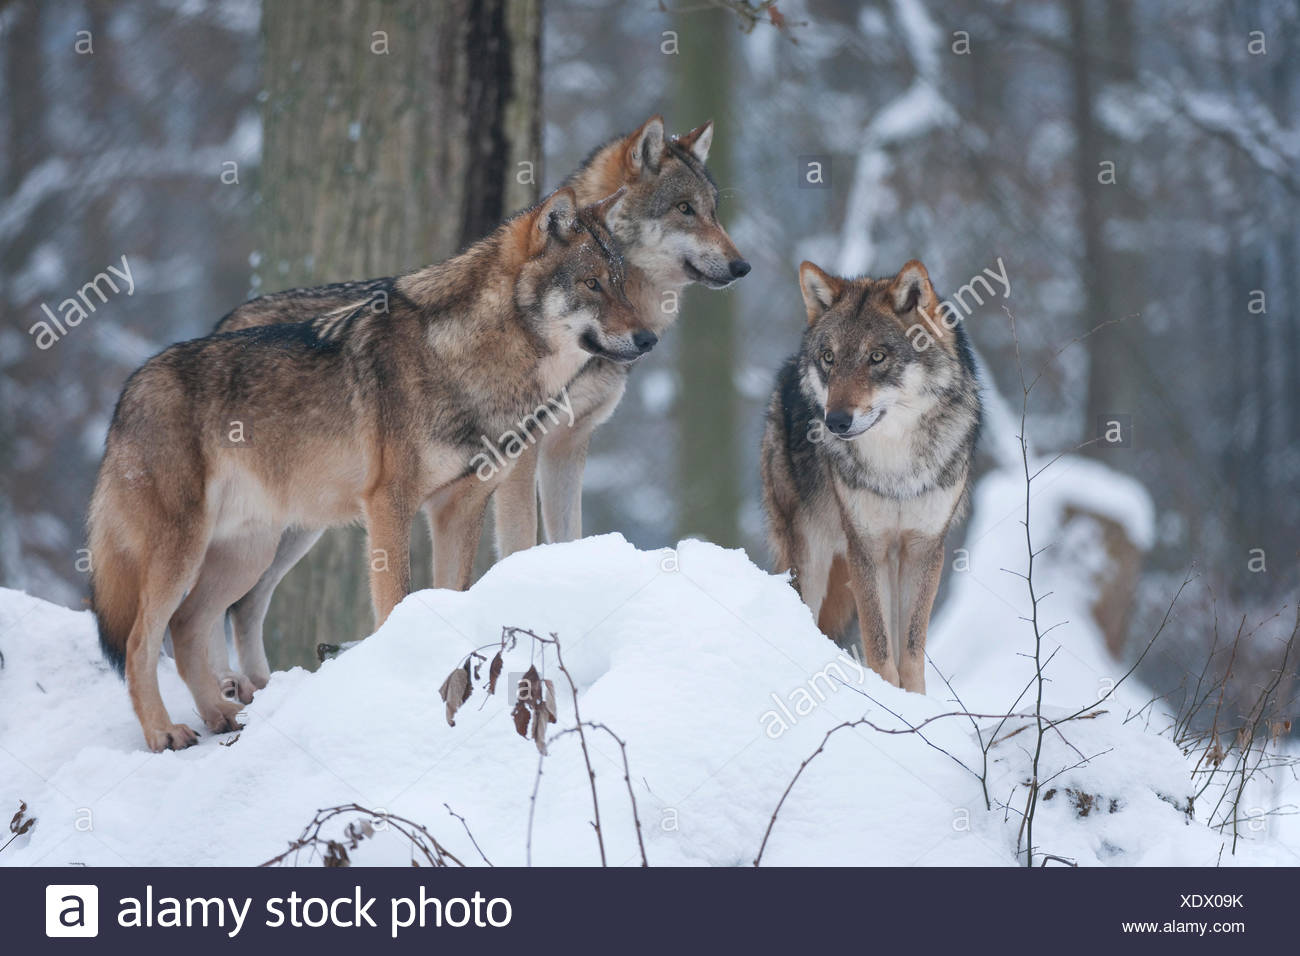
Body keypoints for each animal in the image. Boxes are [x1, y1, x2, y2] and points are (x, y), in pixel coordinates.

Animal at [89, 187, 646, 750]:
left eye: (622, 282)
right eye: (592, 283)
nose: (649, 340)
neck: (473, 359)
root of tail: (130, 388)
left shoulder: (460, 508)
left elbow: (451, 594)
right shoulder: (389, 503)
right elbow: (396, 598)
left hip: (252, 550)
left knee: (188, 625)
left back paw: (221, 715)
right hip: (184, 552)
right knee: (140, 641)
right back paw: (165, 732)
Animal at [212, 115, 748, 671]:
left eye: (713, 209)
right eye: (685, 209)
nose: (742, 266)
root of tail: (227, 319)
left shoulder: (568, 447)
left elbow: (566, 537)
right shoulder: (521, 459)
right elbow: (519, 542)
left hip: (302, 517)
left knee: (241, 606)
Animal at [760, 260, 981, 693]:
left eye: (876, 357)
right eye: (829, 358)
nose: (834, 421)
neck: (895, 462)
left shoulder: (924, 547)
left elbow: (909, 648)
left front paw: (914, 700)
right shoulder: (866, 545)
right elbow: (878, 645)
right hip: (812, 552)